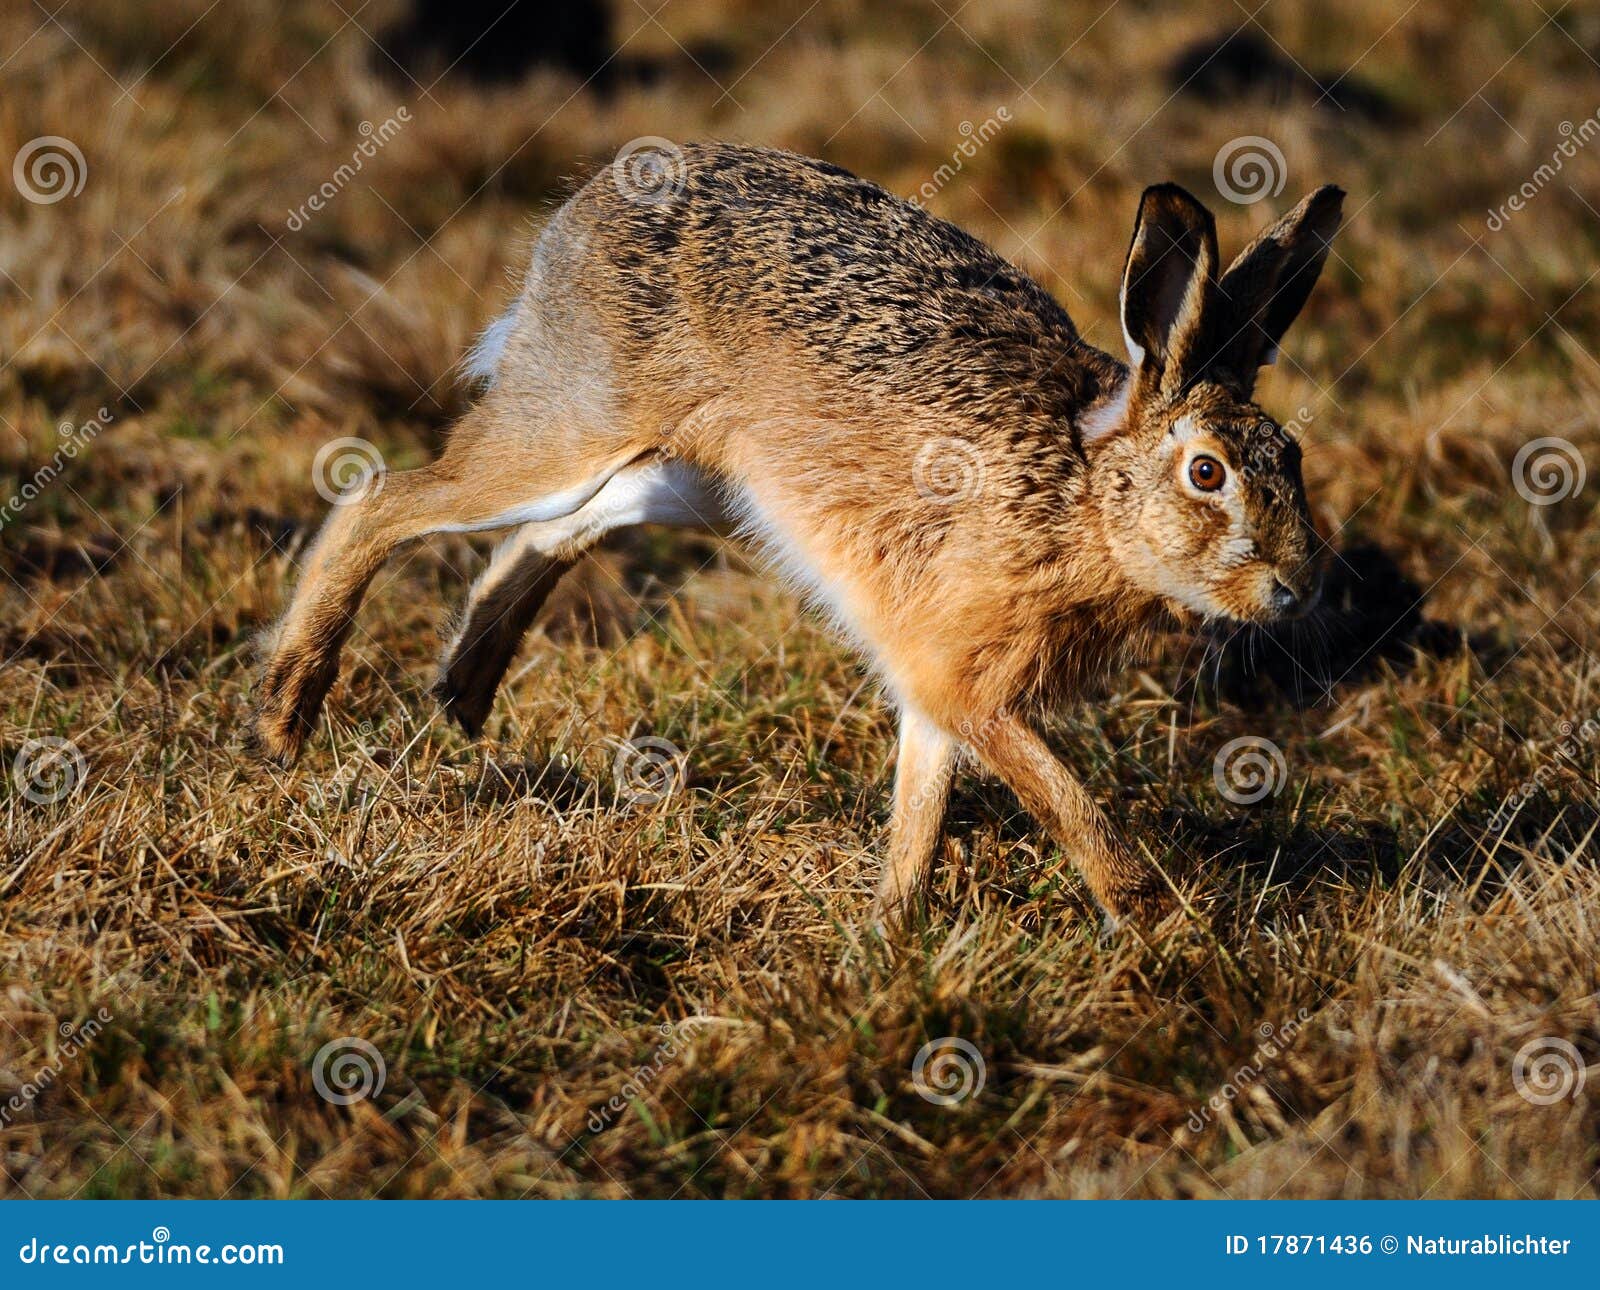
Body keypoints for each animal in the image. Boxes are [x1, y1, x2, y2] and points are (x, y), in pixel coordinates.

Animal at [252, 141, 1343, 929]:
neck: (1086, 496)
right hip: (578, 422)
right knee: (383, 499)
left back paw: (463, 694)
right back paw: (287, 714)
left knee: (555, 534)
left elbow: (921, 807)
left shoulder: (932, 681)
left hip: (691, 478)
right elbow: (1060, 797)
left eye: (1291, 456)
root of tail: (600, 194)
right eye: (1207, 473)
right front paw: (1156, 925)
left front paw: (889, 931)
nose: (1298, 591)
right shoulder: (962, 677)